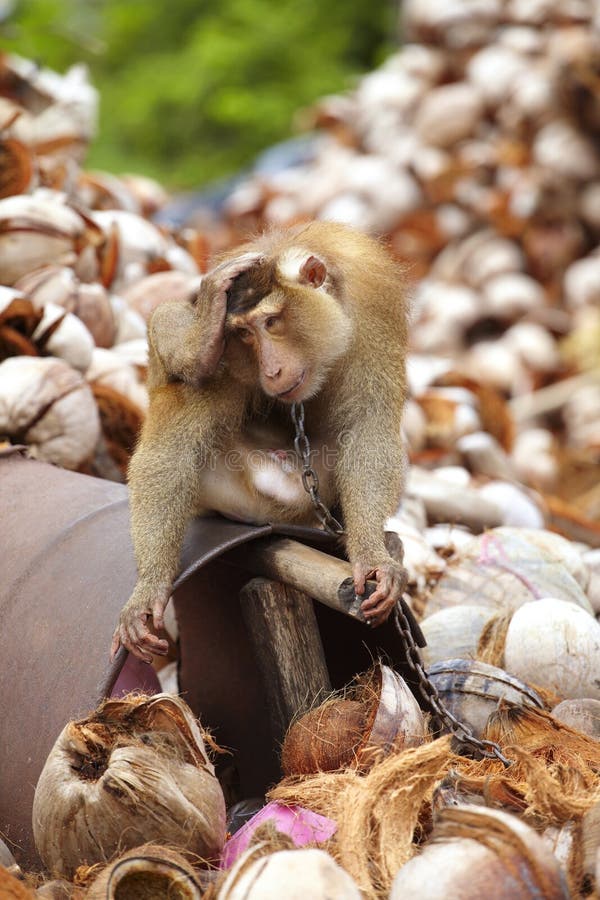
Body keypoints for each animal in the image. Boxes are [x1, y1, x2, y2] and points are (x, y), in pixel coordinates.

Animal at [111, 221, 409, 663]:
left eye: (270, 322)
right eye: (244, 333)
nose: (271, 371)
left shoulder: (371, 313)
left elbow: (367, 426)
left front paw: (373, 555)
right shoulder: (228, 356)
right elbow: (174, 446)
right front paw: (148, 588)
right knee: (174, 348)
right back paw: (194, 349)